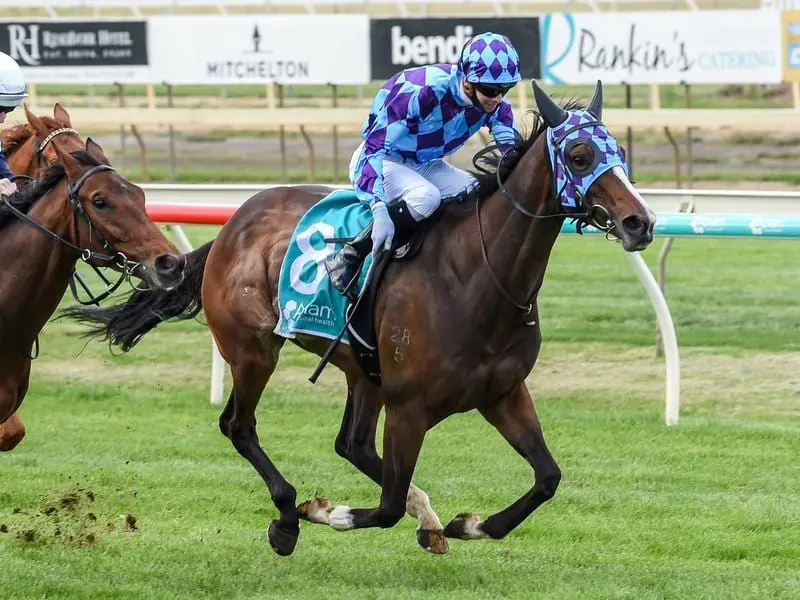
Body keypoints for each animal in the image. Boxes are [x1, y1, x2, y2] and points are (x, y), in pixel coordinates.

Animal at [65, 81, 655, 556]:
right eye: (578, 154)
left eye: (620, 151)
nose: (639, 222)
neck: (476, 276)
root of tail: (234, 223)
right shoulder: (410, 408)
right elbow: (386, 506)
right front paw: (328, 512)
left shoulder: (502, 393)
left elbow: (547, 478)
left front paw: (468, 525)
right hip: (253, 350)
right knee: (239, 425)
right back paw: (288, 516)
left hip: (361, 369)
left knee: (351, 444)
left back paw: (425, 518)